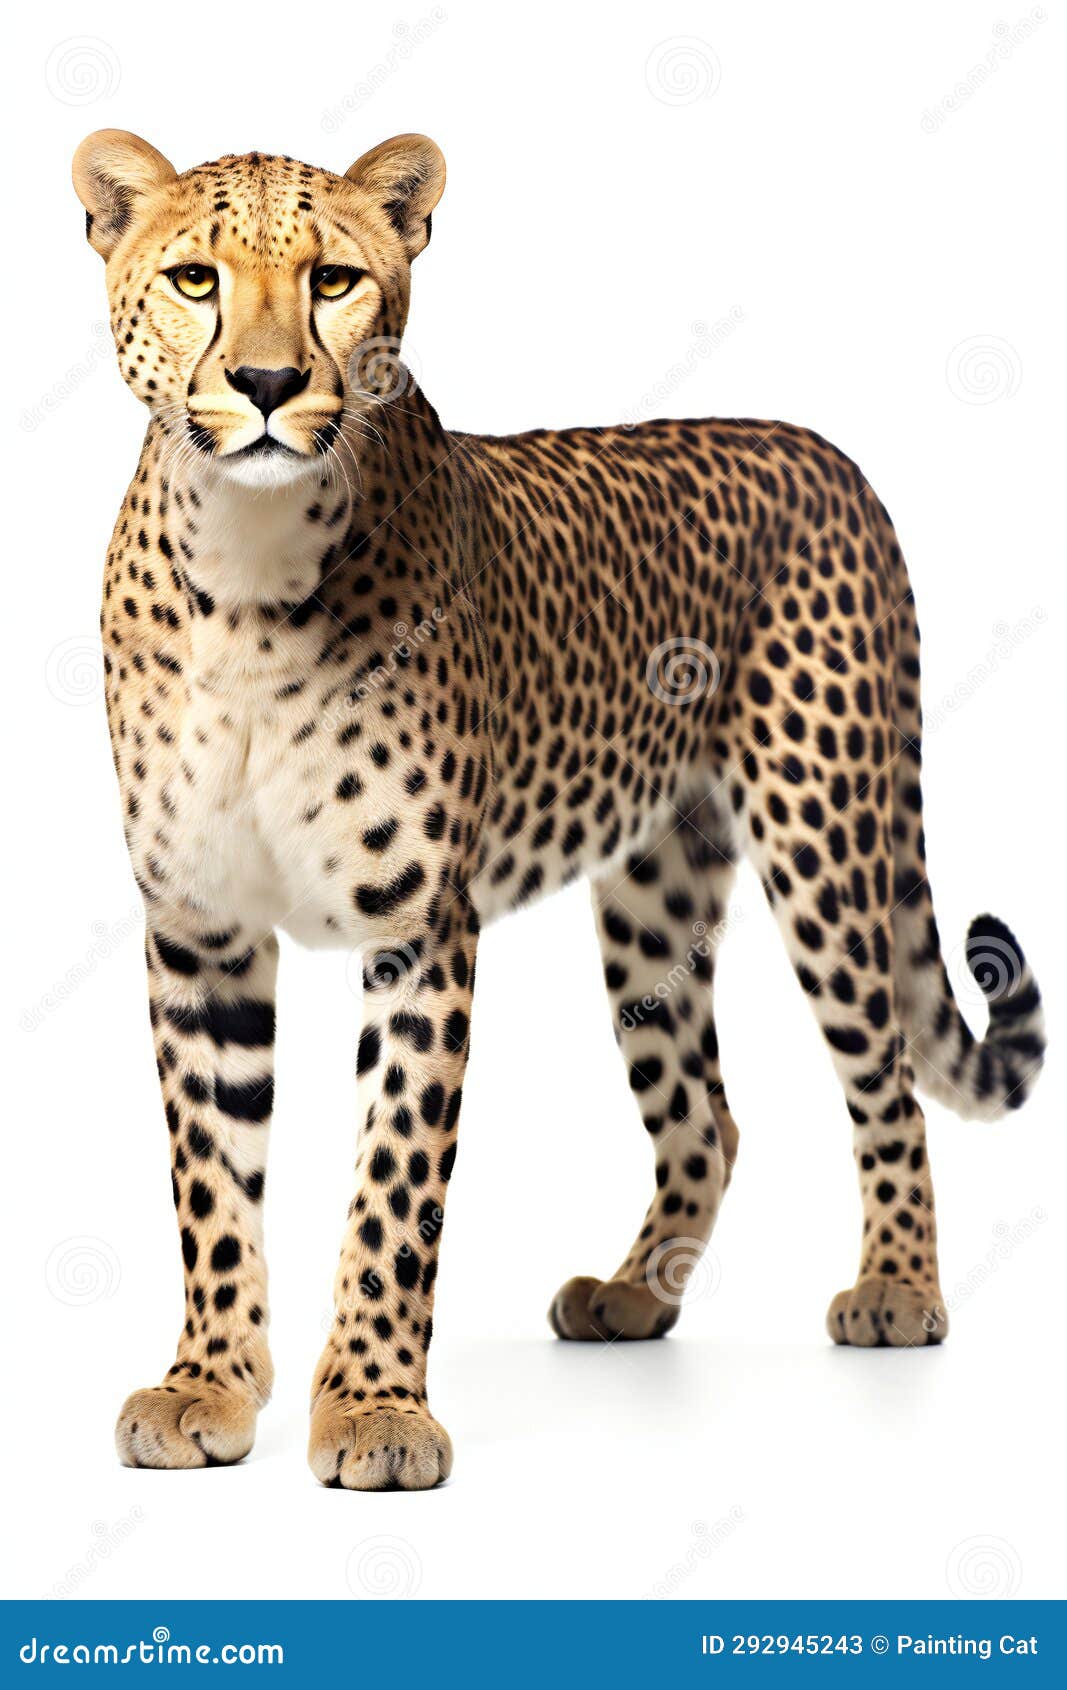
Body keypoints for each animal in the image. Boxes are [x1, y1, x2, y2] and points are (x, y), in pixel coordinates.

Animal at [72, 128, 1046, 1490]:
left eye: (332, 281)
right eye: (197, 279)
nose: (266, 383)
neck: (247, 565)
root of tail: (820, 449)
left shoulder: (416, 926)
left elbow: (392, 1184)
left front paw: (372, 1408)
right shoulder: (198, 925)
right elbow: (211, 1176)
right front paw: (207, 1381)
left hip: (823, 834)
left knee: (886, 1077)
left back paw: (897, 1291)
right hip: (651, 898)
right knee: (707, 1114)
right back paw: (634, 1293)